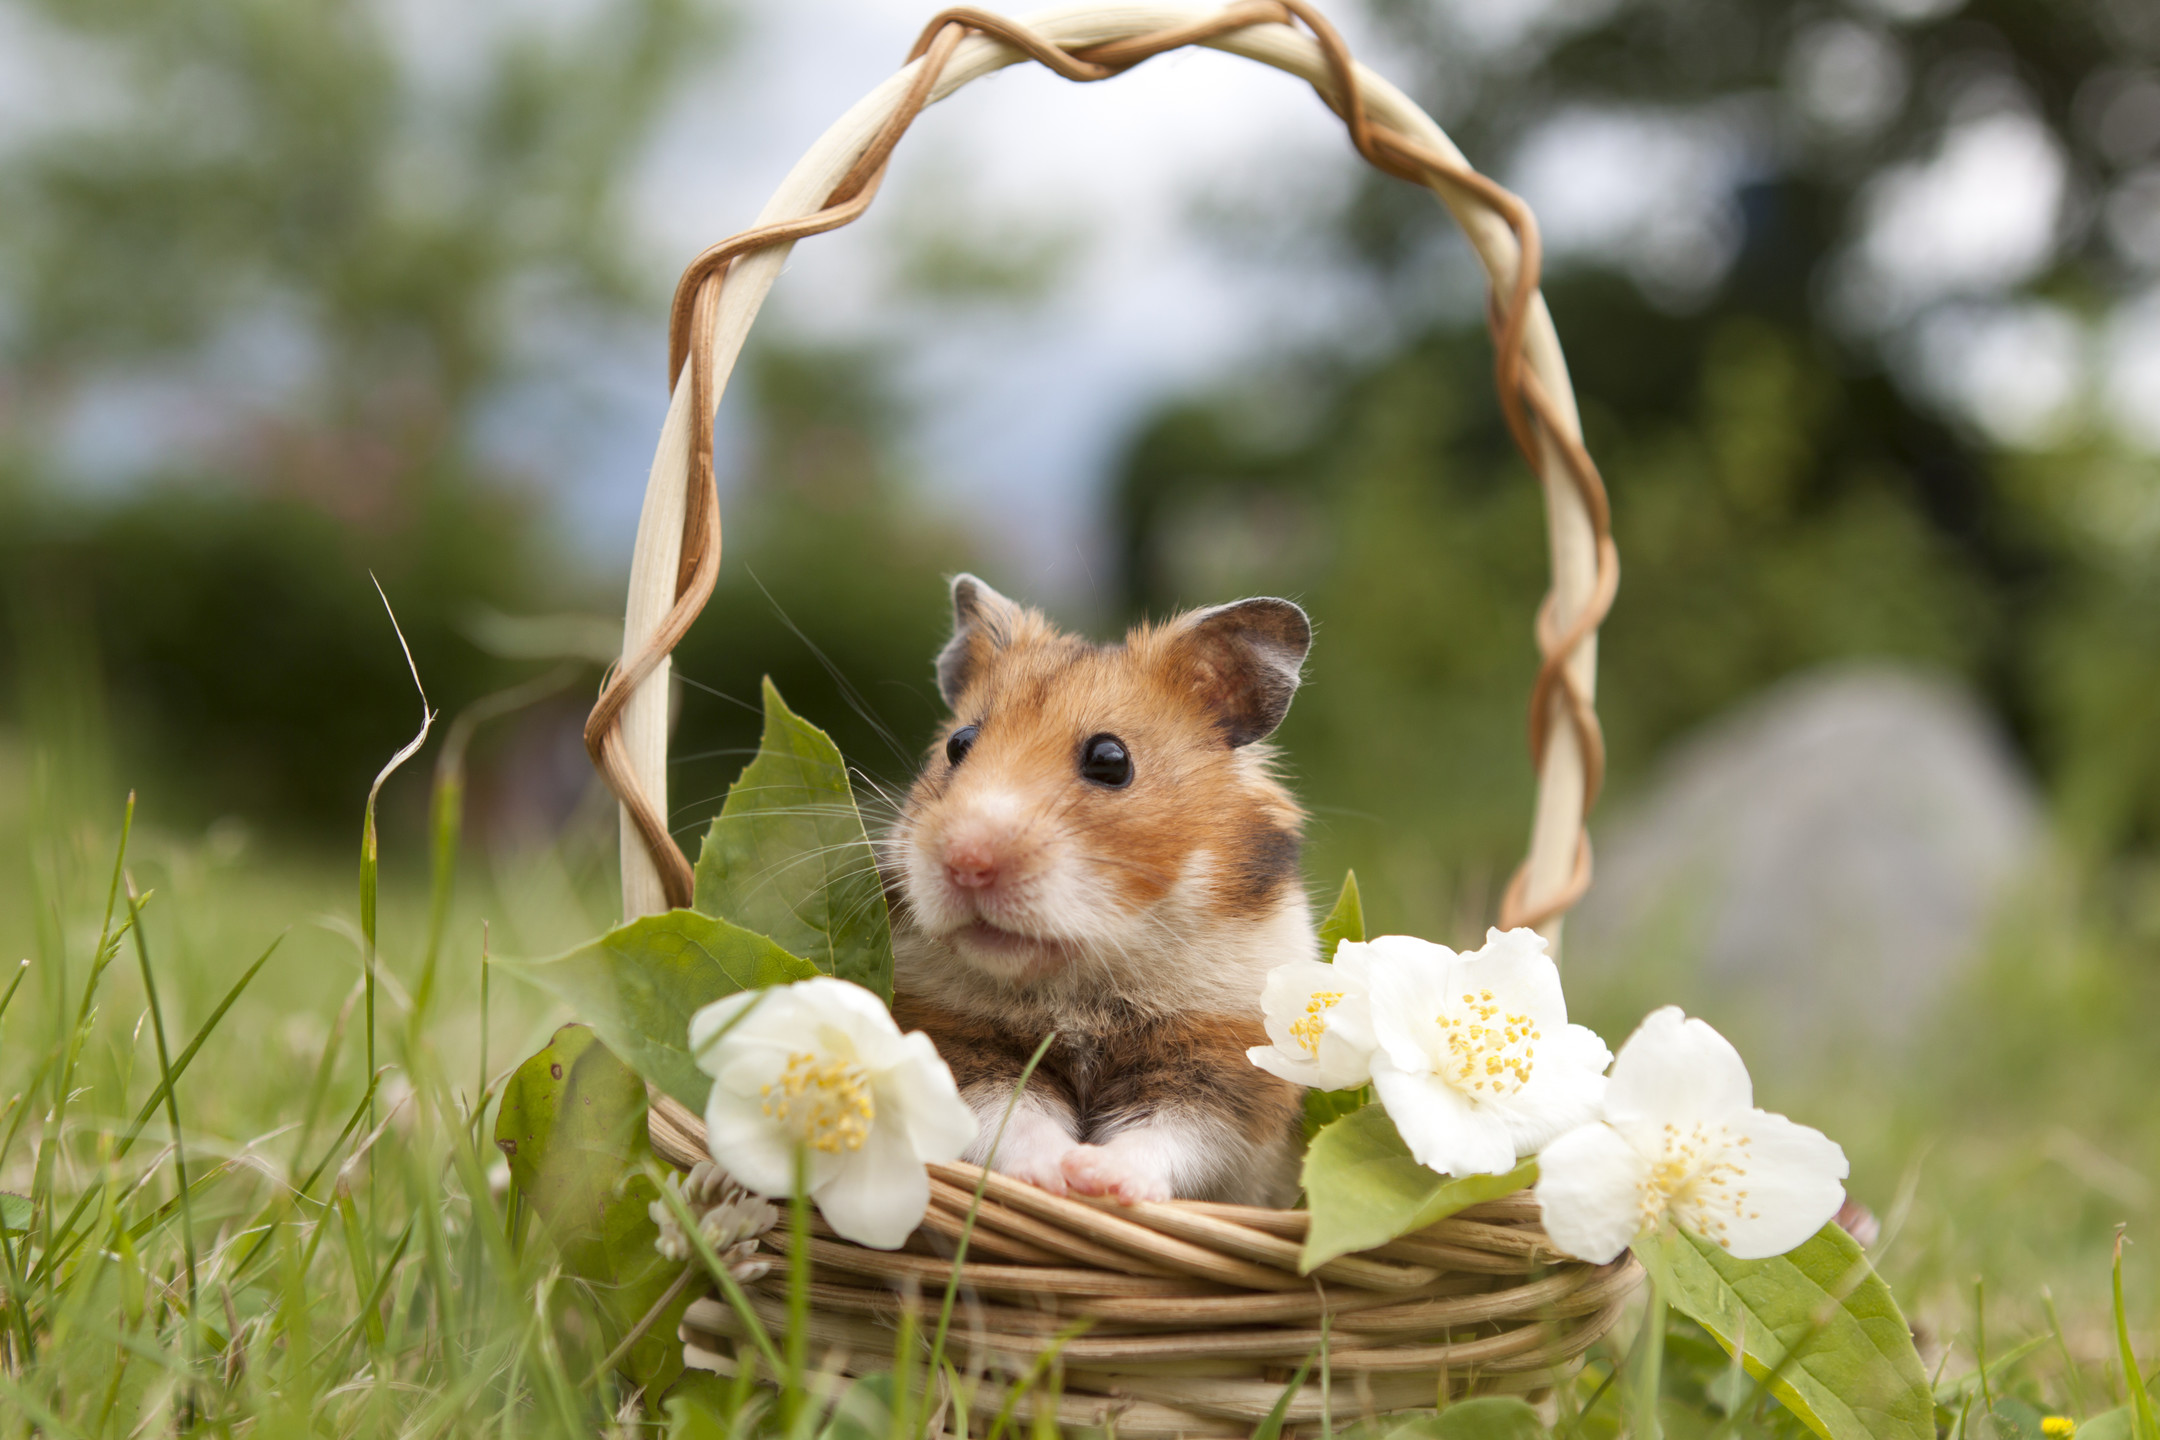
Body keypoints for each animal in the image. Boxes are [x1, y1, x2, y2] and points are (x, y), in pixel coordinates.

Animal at [886, 574, 1315, 1207]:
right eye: (957, 744)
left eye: (1111, 760)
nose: (966, 863)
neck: (1083, 983)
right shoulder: (958, 1045)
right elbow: (1012, 1120)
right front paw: (1061, 1176)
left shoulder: (1222, 1073)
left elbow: (1169, 1135)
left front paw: (1101, 1180)